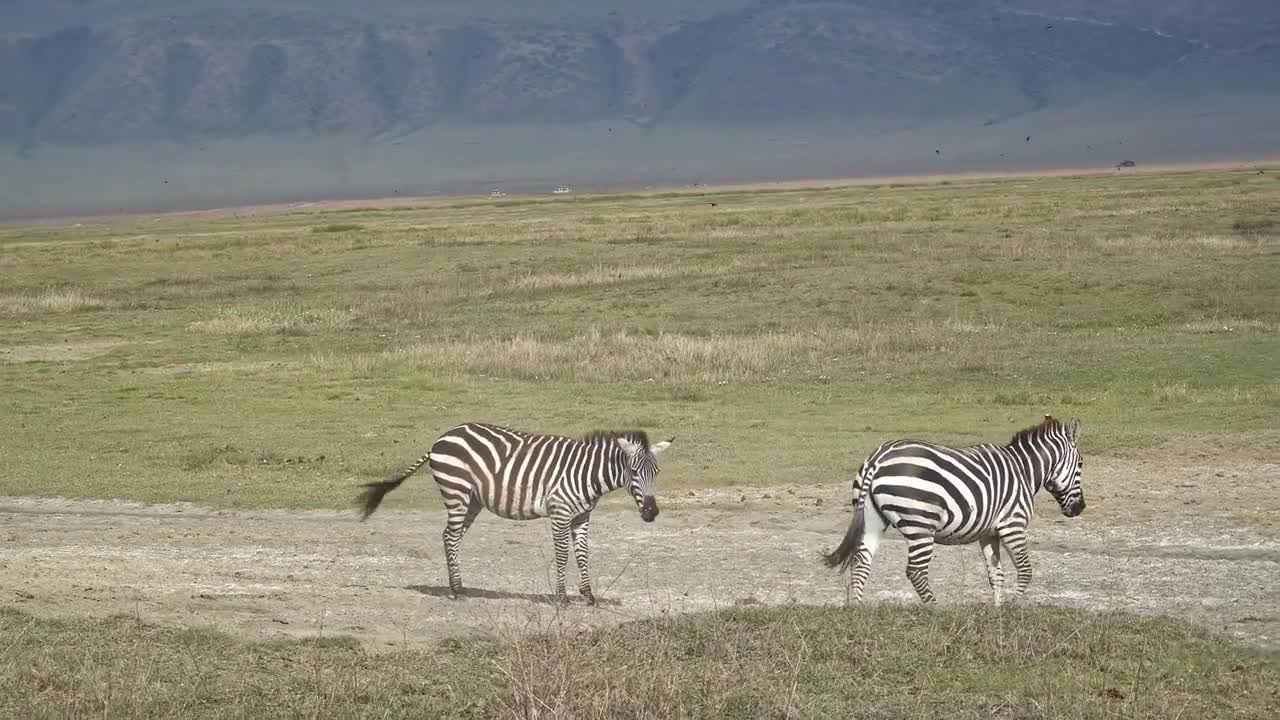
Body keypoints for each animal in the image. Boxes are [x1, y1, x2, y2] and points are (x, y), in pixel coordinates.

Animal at [357, 422, 674, 605]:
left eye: (657, 472)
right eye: (634, 472)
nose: (651, 512)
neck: (587, 475)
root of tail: (443, 436)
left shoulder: (582, 517)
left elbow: (583, 554)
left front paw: (589, 595)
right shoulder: (560, 513)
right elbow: (563, 555)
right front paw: (562, 598)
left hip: (472, 500)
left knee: (451, 537)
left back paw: (459, 587)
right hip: (456, 491)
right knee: (449, 536)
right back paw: (456, 590)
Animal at [822, 415, 1085, 605]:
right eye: (1081, 464)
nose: (1080, 508)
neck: (1024, 471)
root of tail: (877, 459)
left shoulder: (989, 532)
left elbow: (996, 575)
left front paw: (998, 611)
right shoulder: (1013, 523)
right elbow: (1025, 570)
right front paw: (1012, 607)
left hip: (872, 518)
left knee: (861, 562)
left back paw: (858, 609)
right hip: (921, 524)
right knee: (915, 571)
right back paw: (935, 609)